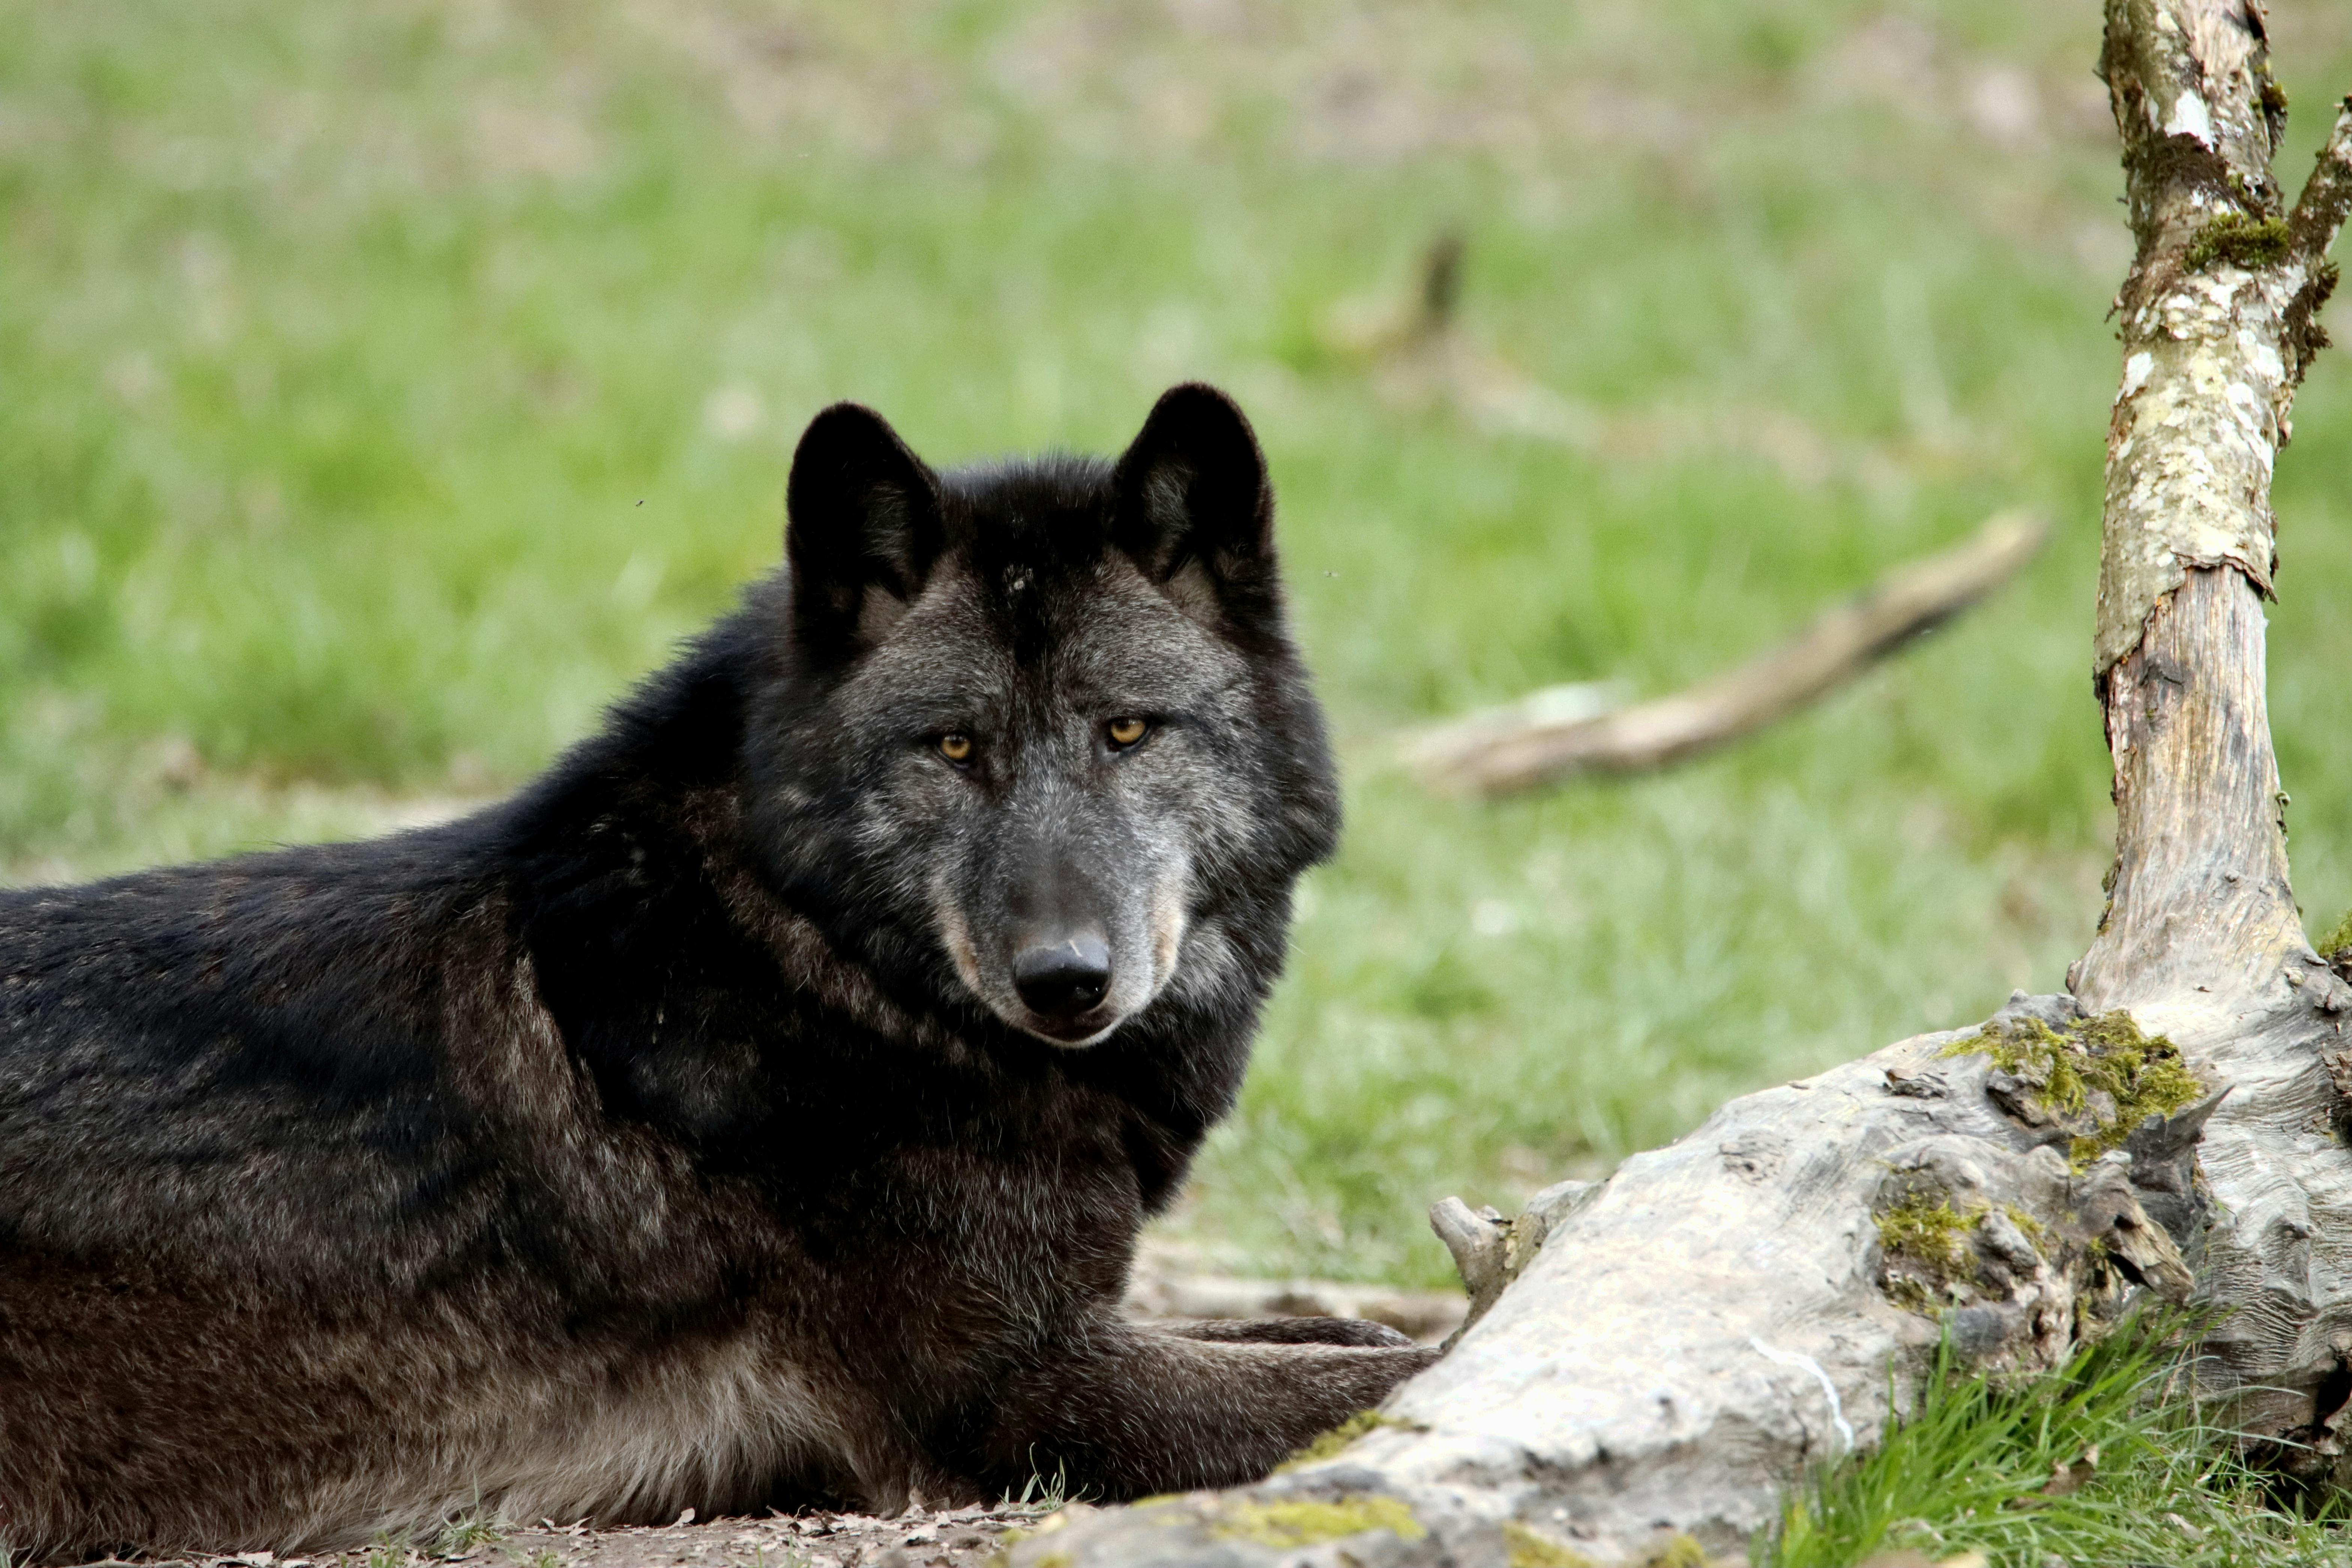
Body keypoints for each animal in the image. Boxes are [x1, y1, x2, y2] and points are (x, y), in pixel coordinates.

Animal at [0, 384, 1436, 1560]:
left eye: (1128, 731)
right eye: (954, 747)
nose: (1064, 979)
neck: (815, 958)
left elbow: (1339, 1342)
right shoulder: (1019, 1397)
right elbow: (1379, 1379)